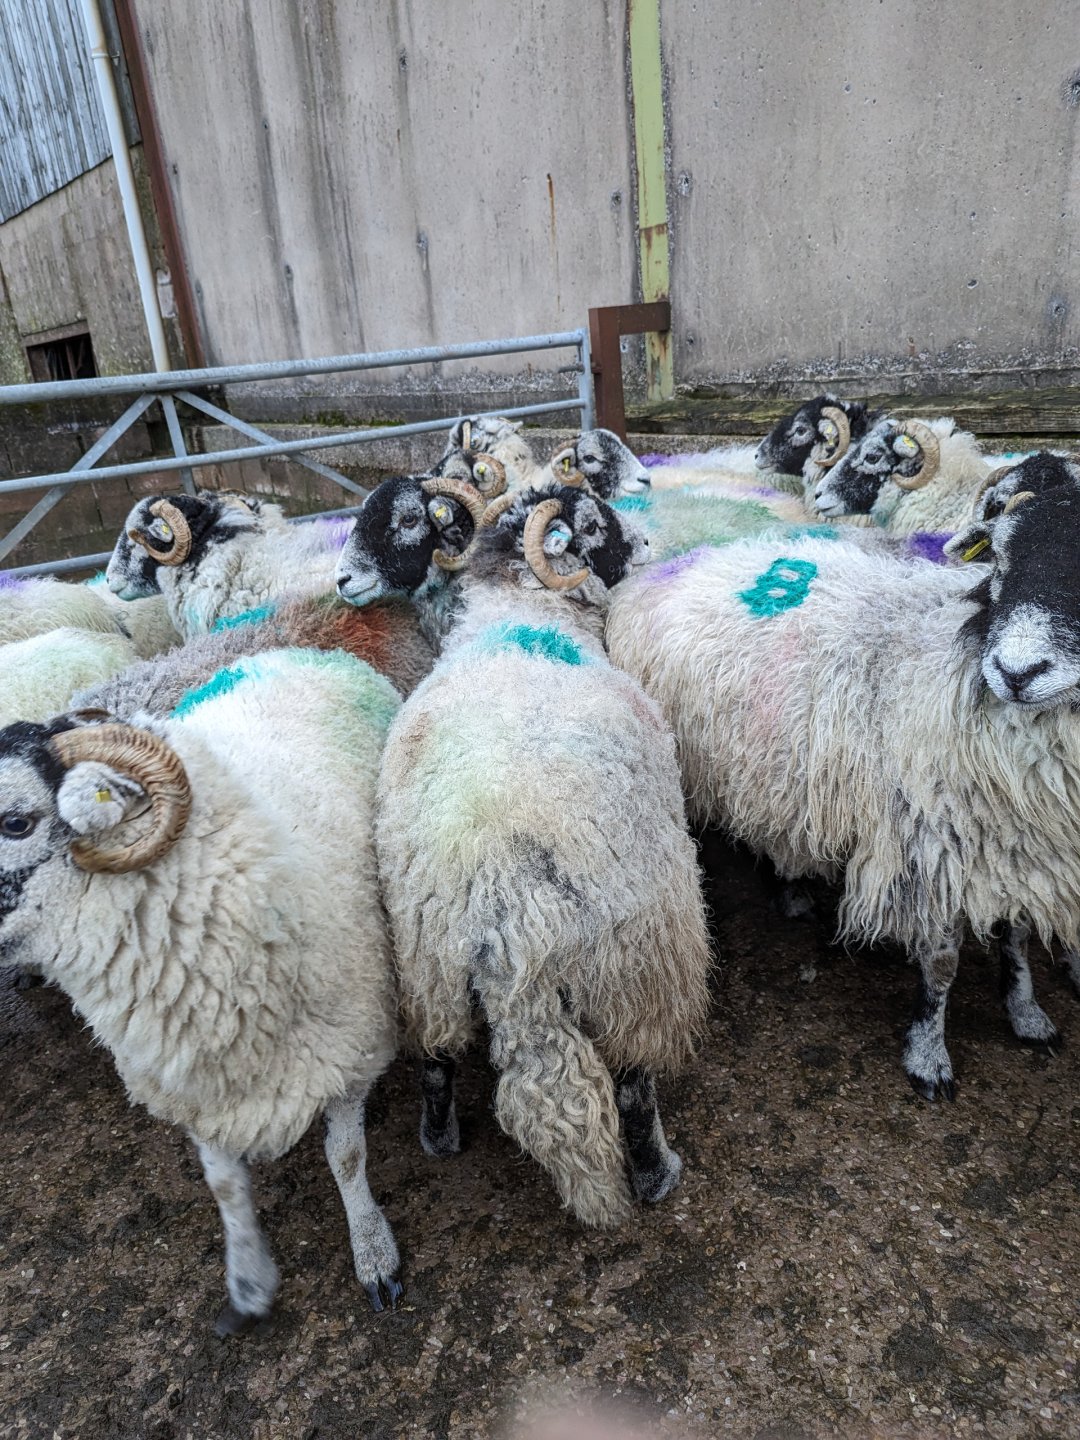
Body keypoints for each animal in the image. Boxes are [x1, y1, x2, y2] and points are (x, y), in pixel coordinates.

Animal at [0, 644, 403, 1332]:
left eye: (16, 822)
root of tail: (299, 651)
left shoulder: (350, 1051)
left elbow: (347, 1158)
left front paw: (373, 1253)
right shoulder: (193, 1081)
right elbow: (225, 1186)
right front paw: (249, 1284)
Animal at [337, 481, 712, 1226]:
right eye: (594, 523)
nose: (646, 544)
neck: (519, 611)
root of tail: (508, 900)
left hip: (426, 963)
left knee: (437, 1060)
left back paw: (440, 1136)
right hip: (641, 957)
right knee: (633, 1079)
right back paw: (657, 1172)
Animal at [605, 484, 1080, 1099]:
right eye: (997, 560)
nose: (1017, 671)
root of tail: (672, 560)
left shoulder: (1023, 848)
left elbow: (1018, 936)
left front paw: (1026, 1013)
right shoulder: (930, 845)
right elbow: (943, 963)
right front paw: (928, 1057)